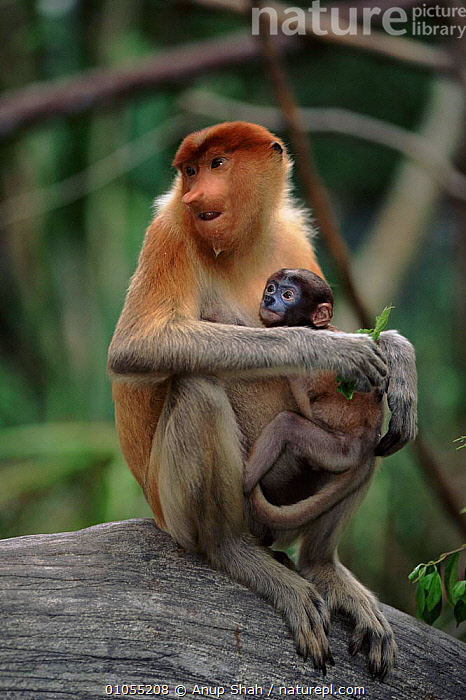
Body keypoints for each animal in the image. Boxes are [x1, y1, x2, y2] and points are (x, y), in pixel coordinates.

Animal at [244, 268, 389, 529]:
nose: (268, 298)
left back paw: (247, 480)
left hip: (340, 452)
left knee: (286, 423)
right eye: (271, 288)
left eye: (288, 295)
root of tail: (369, 437)